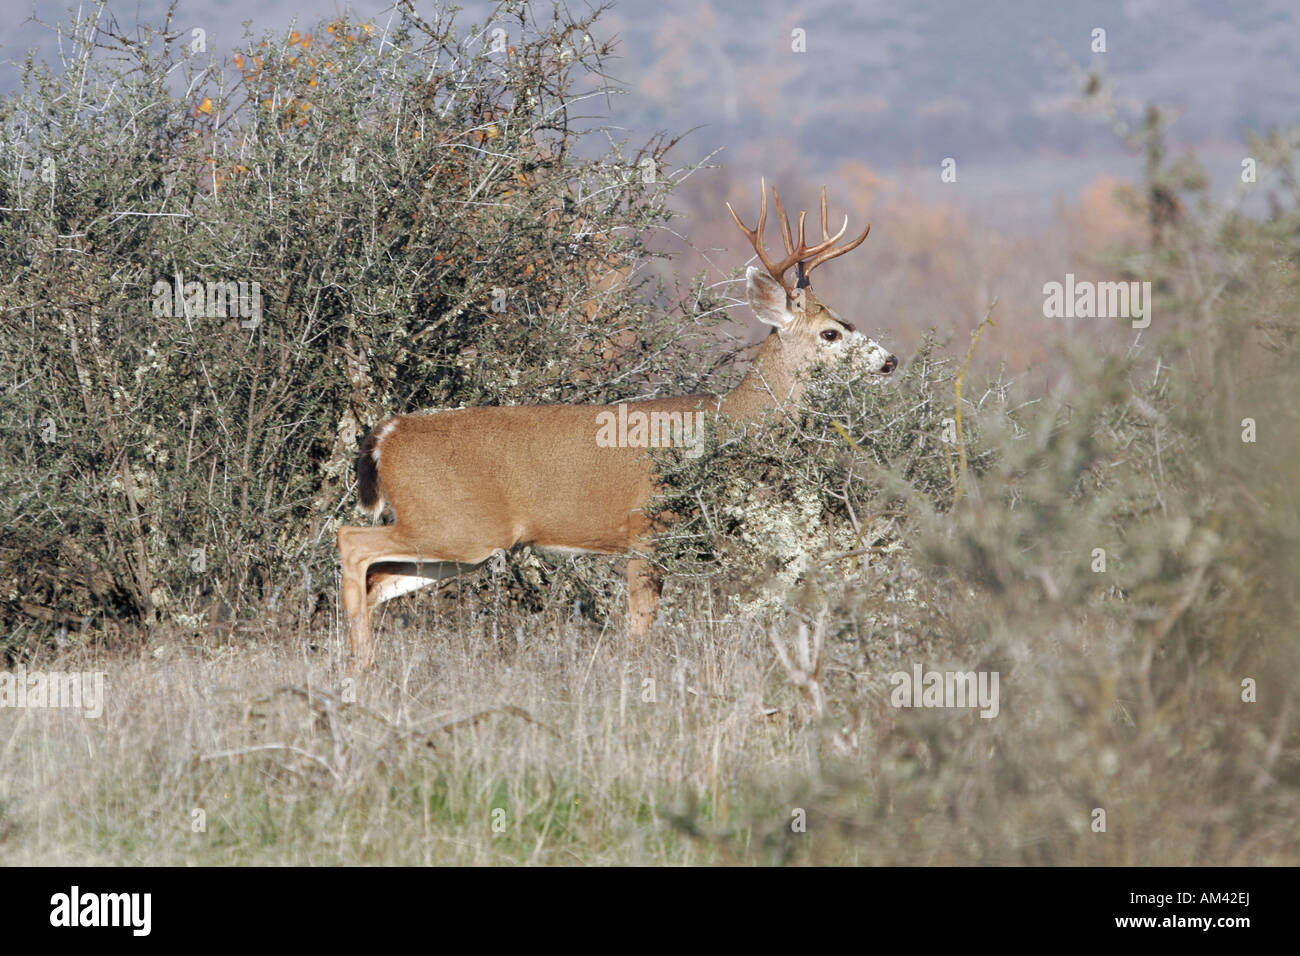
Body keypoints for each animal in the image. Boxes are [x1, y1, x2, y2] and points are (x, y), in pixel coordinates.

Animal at [337, 179, 898, 669]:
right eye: (831, 333)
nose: (890, 361)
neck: (722, 421)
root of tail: (386, 435)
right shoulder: (647, 527)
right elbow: (639, 626)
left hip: (456, 545)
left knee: (377, 579)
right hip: (455, 525)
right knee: (352, 542)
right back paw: (359, 671)